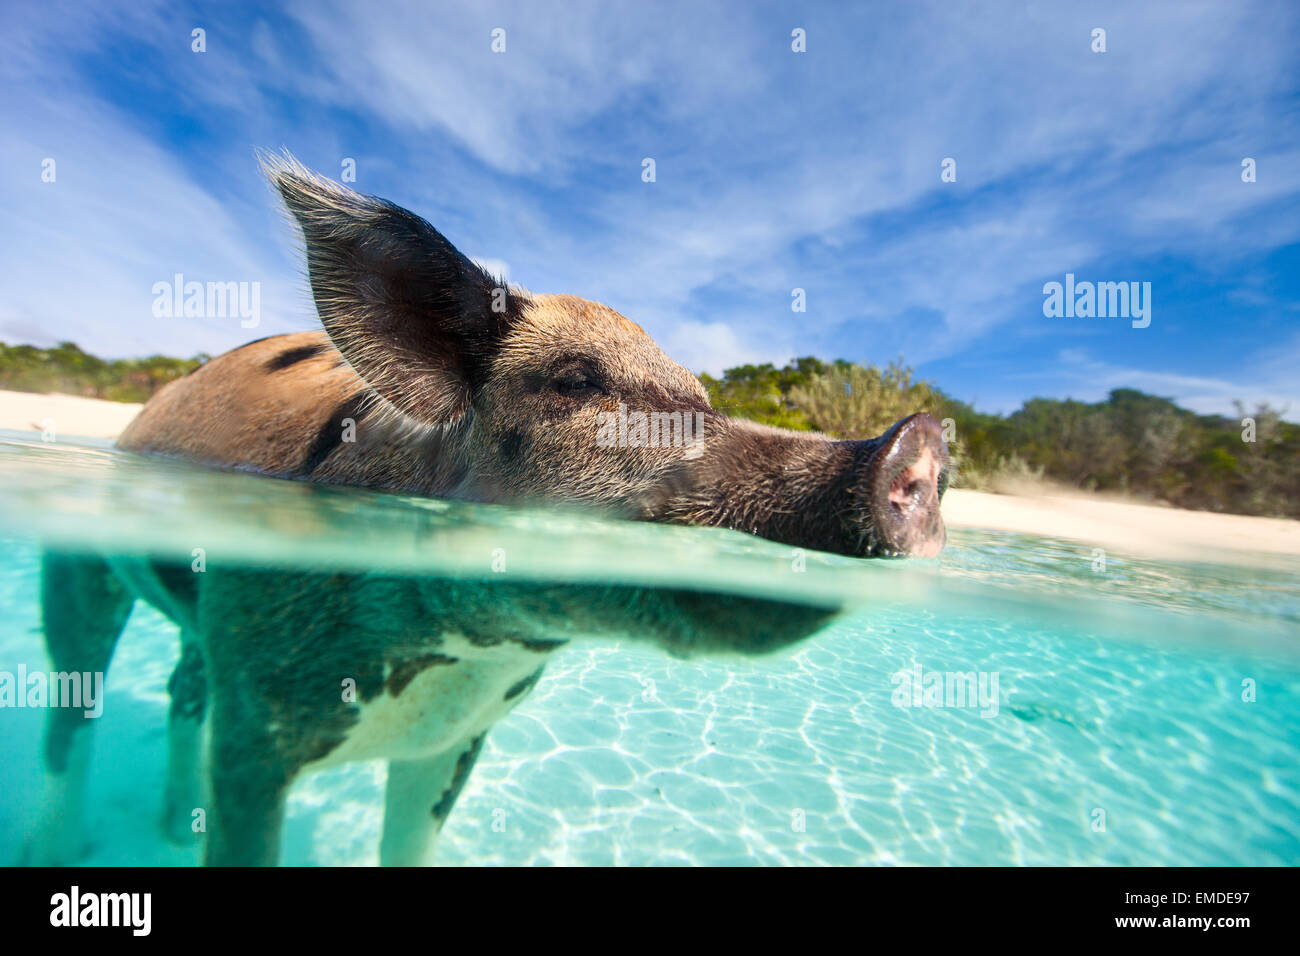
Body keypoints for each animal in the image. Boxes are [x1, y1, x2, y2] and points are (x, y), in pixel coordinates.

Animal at [27, 155, 948, 866]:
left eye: (703, 399)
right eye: (576, 381)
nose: (916, 443)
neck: (462, 655)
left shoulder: (455, 739)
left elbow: (409, 845)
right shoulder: (255, 721)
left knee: (182, 686)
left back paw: (164, 834)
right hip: (77, 572)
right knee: (74, 706)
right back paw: (65, 848)